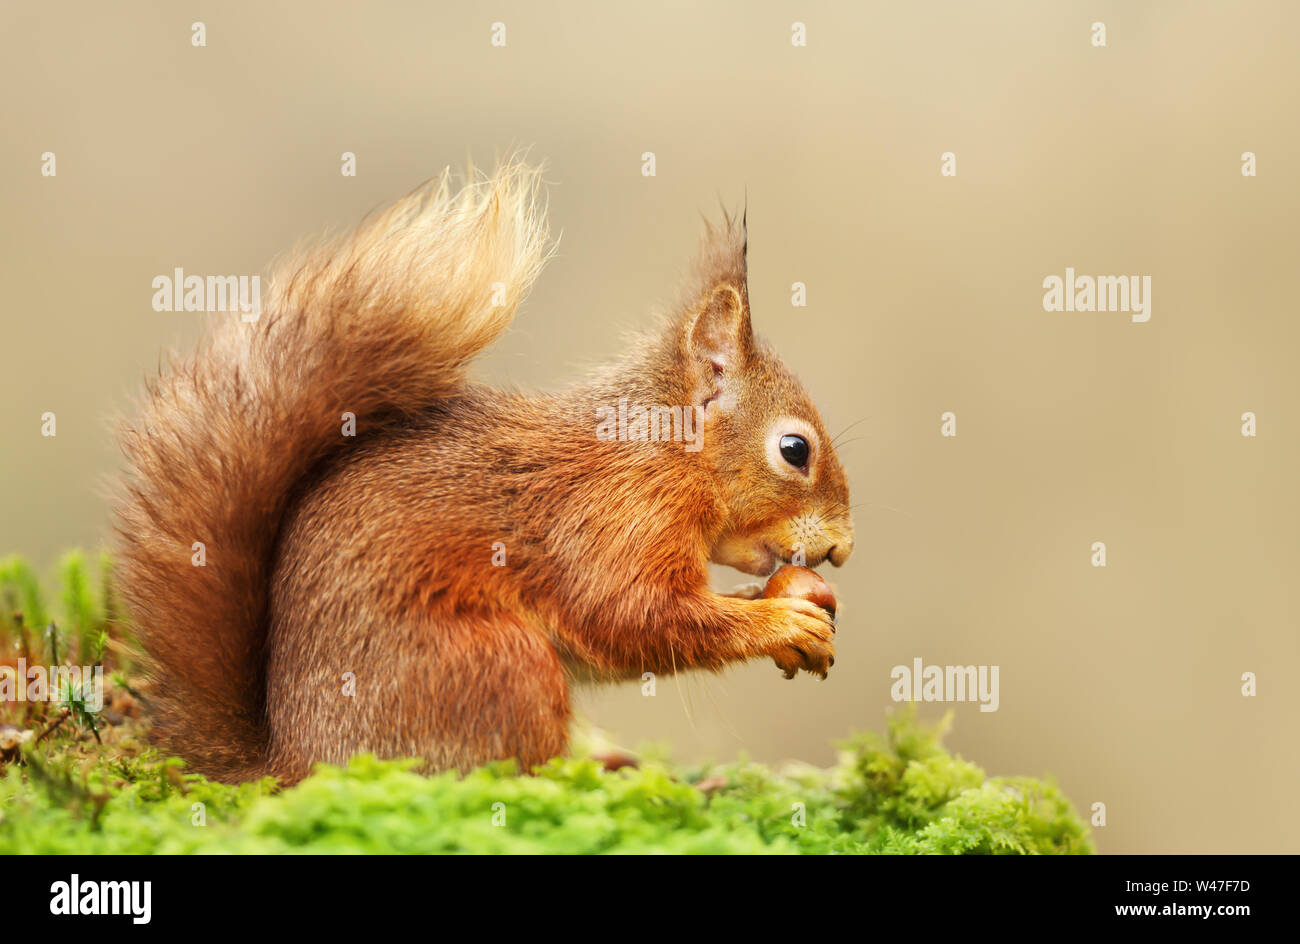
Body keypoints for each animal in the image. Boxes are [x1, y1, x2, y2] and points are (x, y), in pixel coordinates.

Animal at [115, 160, 855, 784]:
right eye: (795, 450)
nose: (843, 549)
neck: (664, 456)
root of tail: (293, 764)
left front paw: (785, 601)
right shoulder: (614, 517)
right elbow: (634, 617)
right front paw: (783, 623)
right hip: (497, 663)